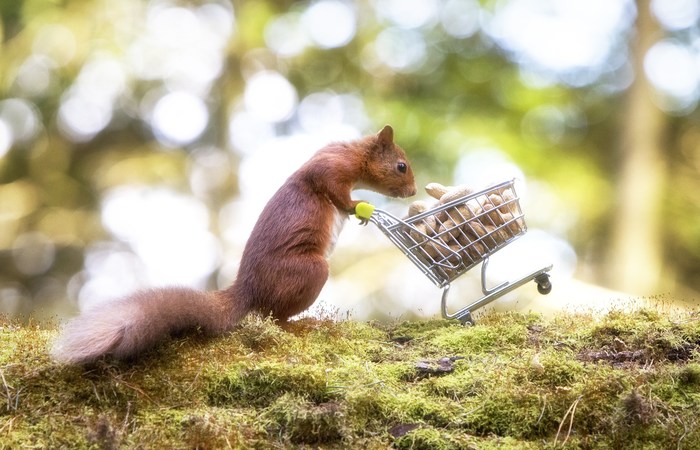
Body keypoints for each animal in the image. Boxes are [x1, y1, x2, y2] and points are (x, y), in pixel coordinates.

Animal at [51, 125, 417, 364]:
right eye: (401, 166)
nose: (413, 191)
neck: (353, 154)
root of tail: (248, 289)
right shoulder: (329, 168)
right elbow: (334, 191)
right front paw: (359, 208)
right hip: (310, 270)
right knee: (274, 317)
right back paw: (304, 324)